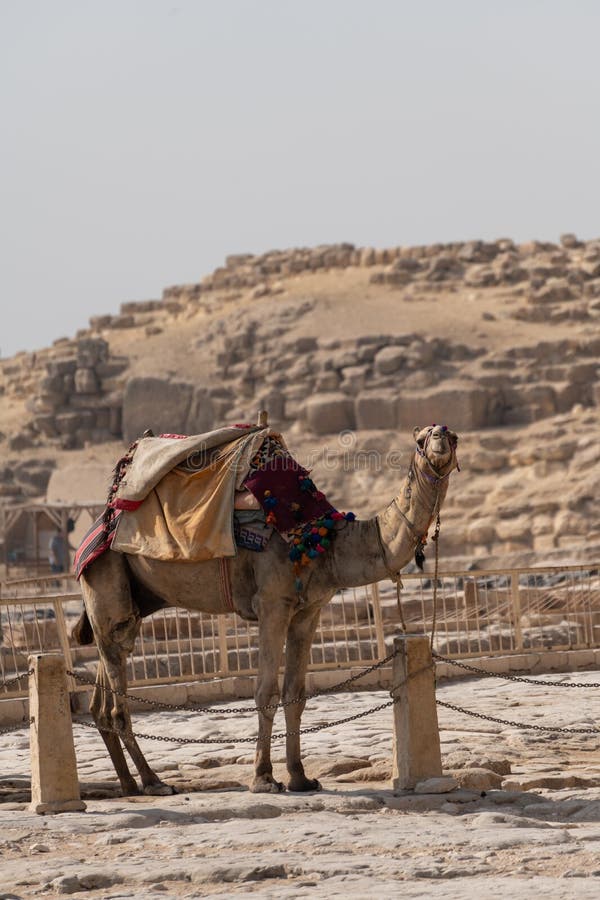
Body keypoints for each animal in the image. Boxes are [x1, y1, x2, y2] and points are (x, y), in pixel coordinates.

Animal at [74, 424, 459, 796]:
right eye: (421, 438)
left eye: (453, 436)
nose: (440, 438)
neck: (323, 541)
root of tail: (96, 528)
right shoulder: (273, 603)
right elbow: (266, 693)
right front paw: (264, 778)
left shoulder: (308, 611)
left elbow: (296, 695)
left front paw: (300, 778)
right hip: (106, 575)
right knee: (117, 701)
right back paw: (154, 782)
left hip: (128, 602)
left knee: (106, 682)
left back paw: (128, 784)